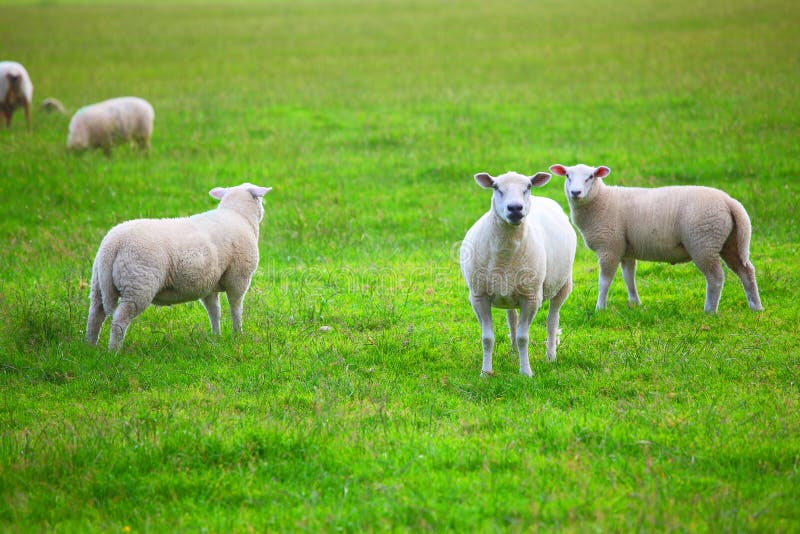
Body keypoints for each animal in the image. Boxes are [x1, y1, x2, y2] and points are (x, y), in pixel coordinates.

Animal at [86, 183, 272, 351]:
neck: (239, 216)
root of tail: (113, 244)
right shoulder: (238, 278)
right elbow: (236, 308)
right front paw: (237, 334)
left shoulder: (209, 283)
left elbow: (214, 311)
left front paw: (216, 337)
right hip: (138, 285)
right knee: (119, 320)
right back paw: (114, 351)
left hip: (99, 284)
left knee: (95, 314)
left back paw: (90, 346)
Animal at [460, 171, 577, 376]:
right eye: (496, 187)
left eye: (528, 187)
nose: (515, 208)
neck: (505, 255)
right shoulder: (478, 296)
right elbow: (487, 338)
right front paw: (486, 373)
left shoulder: (531, 298)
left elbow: (524, 337)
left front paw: (526, 372)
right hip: (508, 291)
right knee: (512, 318)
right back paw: (514, 351)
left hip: (563, 285)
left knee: (552, 320)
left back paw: (550, 356)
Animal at [549, 163, 763, 313]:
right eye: (568, 176)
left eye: (591, 177)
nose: (575, 192)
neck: (601, 201)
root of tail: (730, 202)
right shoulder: (625, 249)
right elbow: (629, 277)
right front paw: (635, 303)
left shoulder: (609, 247)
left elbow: (604, 281)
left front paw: (599, 307)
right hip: (730, 242)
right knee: (746, 271)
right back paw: (756, 307)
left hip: (703, 242)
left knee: (716, 277)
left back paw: (710, 310)